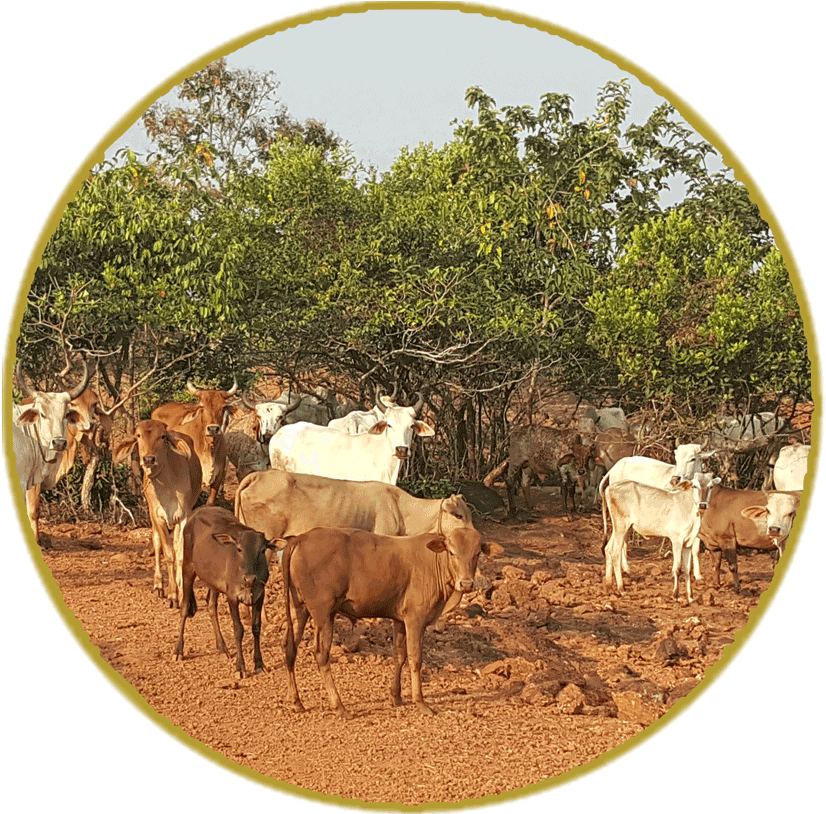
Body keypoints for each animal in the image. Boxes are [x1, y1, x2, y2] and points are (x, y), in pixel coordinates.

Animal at [113, 420, 202, 608]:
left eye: (162, 436)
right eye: (138, 435)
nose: (148, 459)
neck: (167, 485)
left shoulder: (182, 516)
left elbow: (180, 554)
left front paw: (182, 592)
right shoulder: (158, 517)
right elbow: (168, 554)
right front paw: (173, 595)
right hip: (152, 517)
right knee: (156, 543)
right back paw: (158, 585)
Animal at [174, 507, 275, 678]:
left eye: (262, 550)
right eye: (239, 549)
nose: (249, 578)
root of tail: (198, 510)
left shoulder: (259, 595)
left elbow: (256, 627)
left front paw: (259, 664)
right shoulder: (232, 596)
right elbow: (238, 629)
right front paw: (240, 667)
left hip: (214, 582)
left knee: (211, 607)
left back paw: (222, 647)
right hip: (187, 566)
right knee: (185, 606)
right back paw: (178, 650)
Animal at [281, 526, 503, 718]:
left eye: (477, 554)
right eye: (452, 552)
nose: (466, 583)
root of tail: (302, 538)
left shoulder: (400, 620)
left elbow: (400, 655)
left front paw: (396, 696)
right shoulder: (415, 619)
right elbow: (415, 658)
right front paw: (420, 702)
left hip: (300, 609)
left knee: (290, 647)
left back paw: (296, 701)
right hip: (323, 613)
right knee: (321, 654)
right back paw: (340, 706)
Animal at [603, 472, 721, 603]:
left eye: (710, 486)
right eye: (694, 486)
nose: (703, 505)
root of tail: (609, 488)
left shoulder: (688, 543)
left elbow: (687, 569)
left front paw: (690, 597)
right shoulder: (676, 540)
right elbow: (677, 568)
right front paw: (675, 595)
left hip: (622, 528)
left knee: (608, 549)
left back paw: (609, 587)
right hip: (621, 526)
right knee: (615, 553)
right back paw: (621, 589)